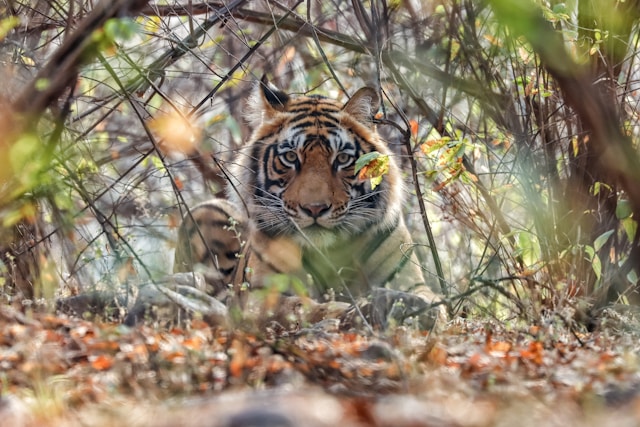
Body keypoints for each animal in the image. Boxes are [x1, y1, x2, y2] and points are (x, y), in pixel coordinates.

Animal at [173, 80, 446, 329]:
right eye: (290, 157)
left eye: (342, 159)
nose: (315, 208)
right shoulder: (261, 295)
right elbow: (301, 307)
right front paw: (350, 312)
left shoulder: (410, 281)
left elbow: (434, 302)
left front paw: (413, 308)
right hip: (207, 211)